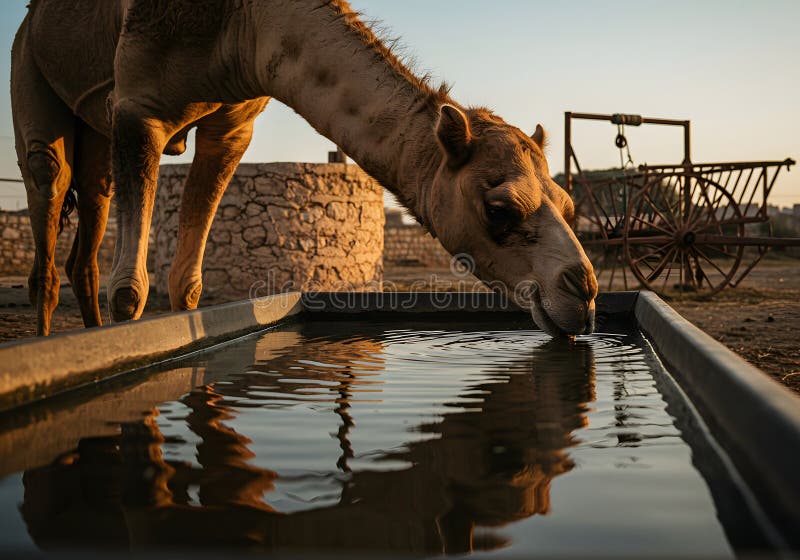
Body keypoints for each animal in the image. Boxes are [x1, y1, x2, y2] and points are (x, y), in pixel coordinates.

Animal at [11, 0, 598, 337]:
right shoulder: (138, 105)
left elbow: (189, 286)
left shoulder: (233, 125)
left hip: (96, 131)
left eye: (569, 204)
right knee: (46, 179)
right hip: (29, 68)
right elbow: (131, 293)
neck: (244, 25)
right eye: (498, 208)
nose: (585, 294)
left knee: (92, 203)